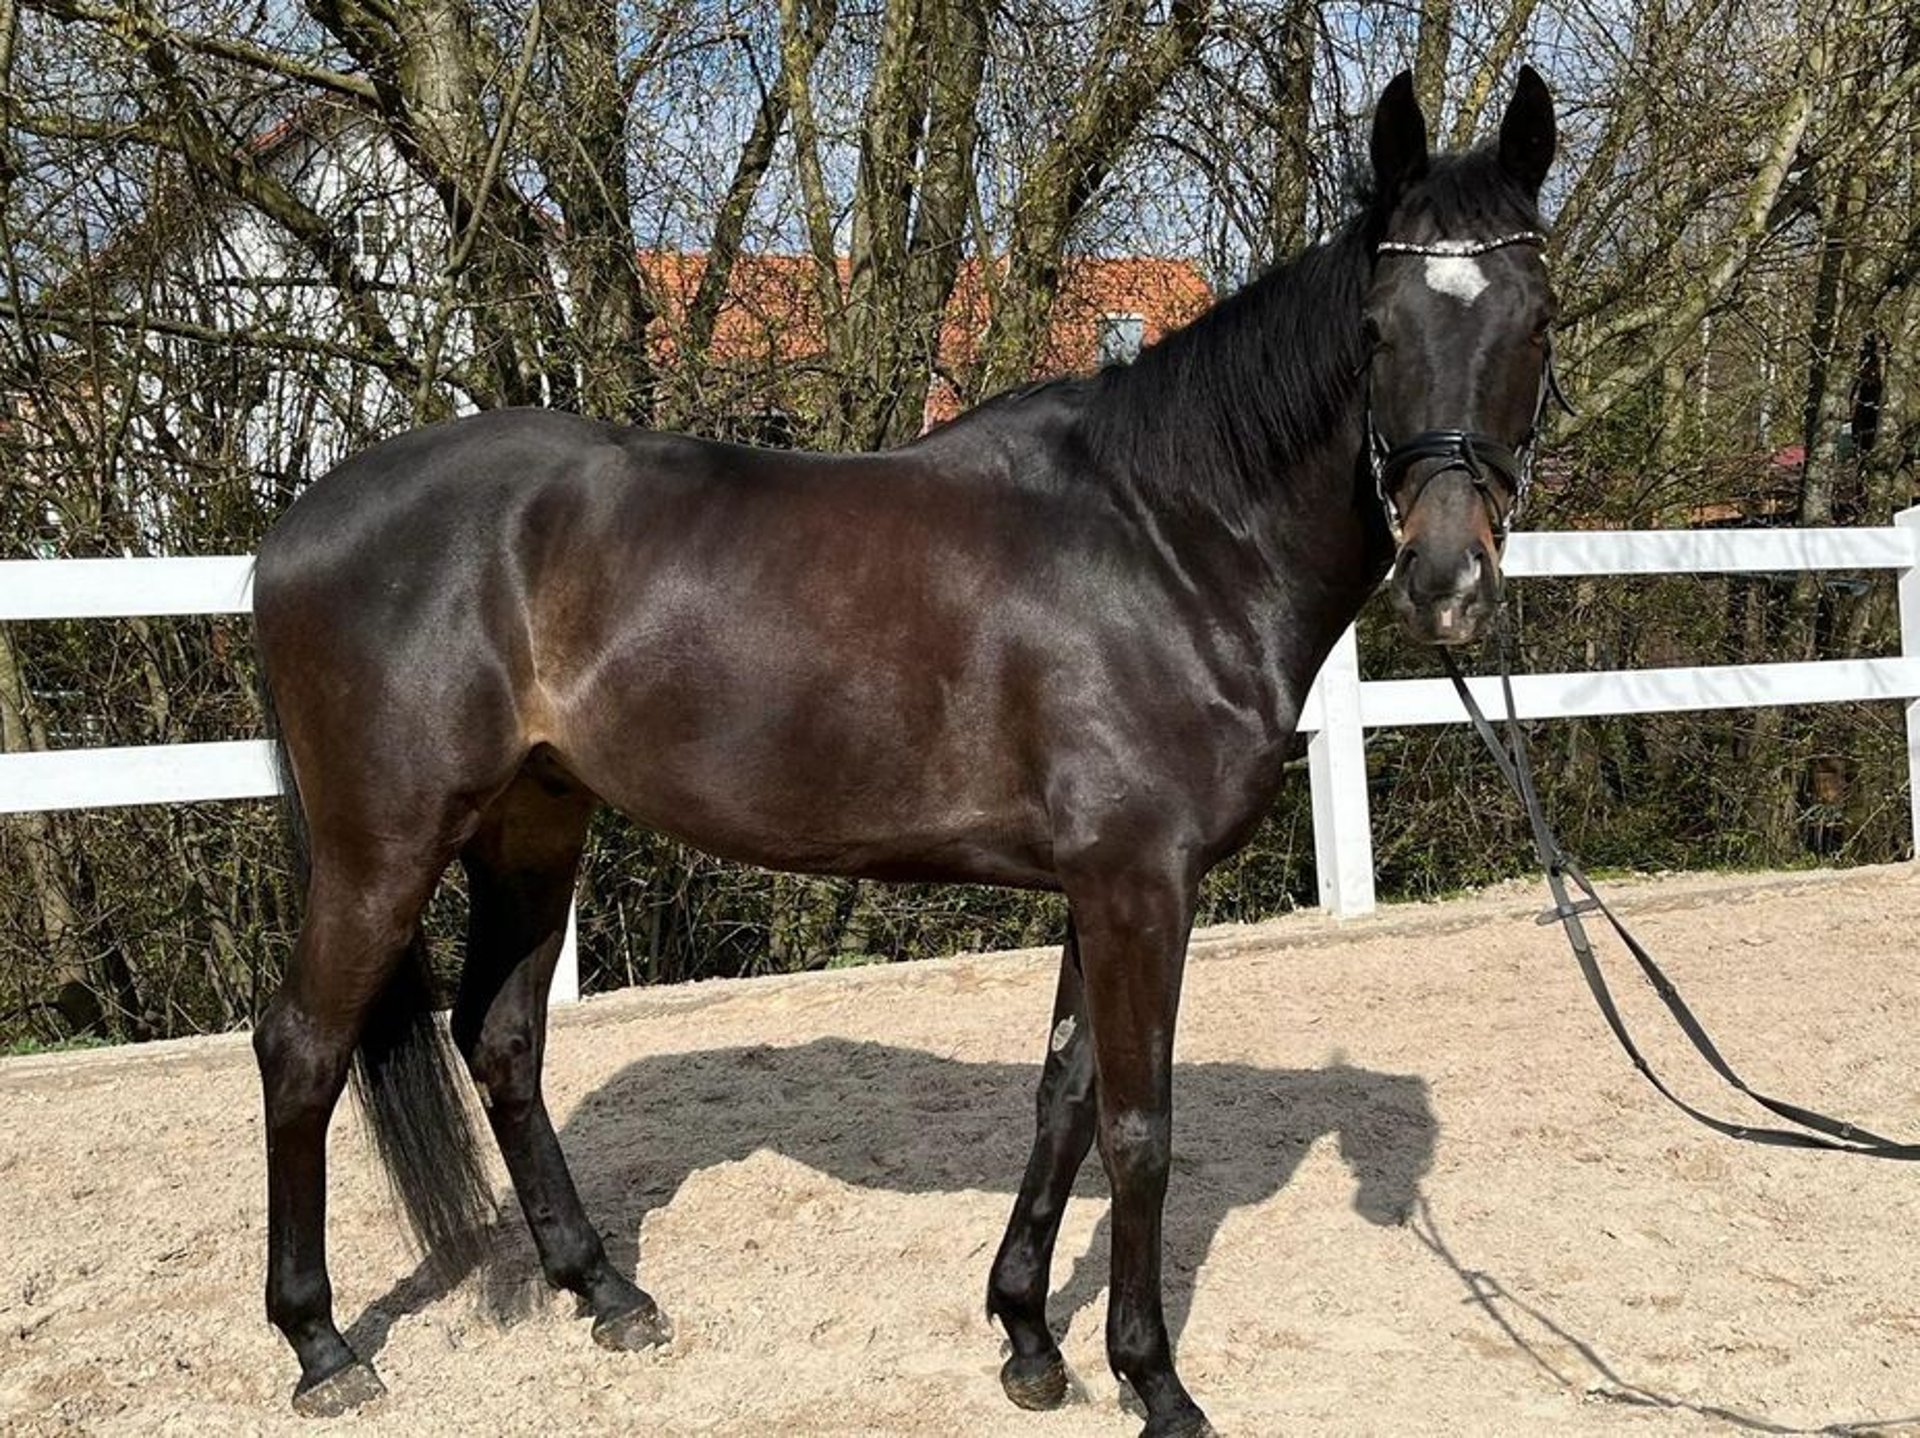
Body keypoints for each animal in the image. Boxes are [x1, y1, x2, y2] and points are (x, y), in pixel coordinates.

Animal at [250, 67, 1559, 1437]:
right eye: (1378, 328)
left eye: (1538, 319)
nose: (1451, 581)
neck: (1169, 539)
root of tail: (297, 524)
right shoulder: (1142, 884)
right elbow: (1140, 1127)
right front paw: (1153, 1379)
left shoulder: (1099, 887)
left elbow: (1064, 1099)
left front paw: (1030, 1336)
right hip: (385, 842)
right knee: (302, 1050)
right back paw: (323, 1345)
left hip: (533, 820)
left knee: (501, 1037)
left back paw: (604, 1289)